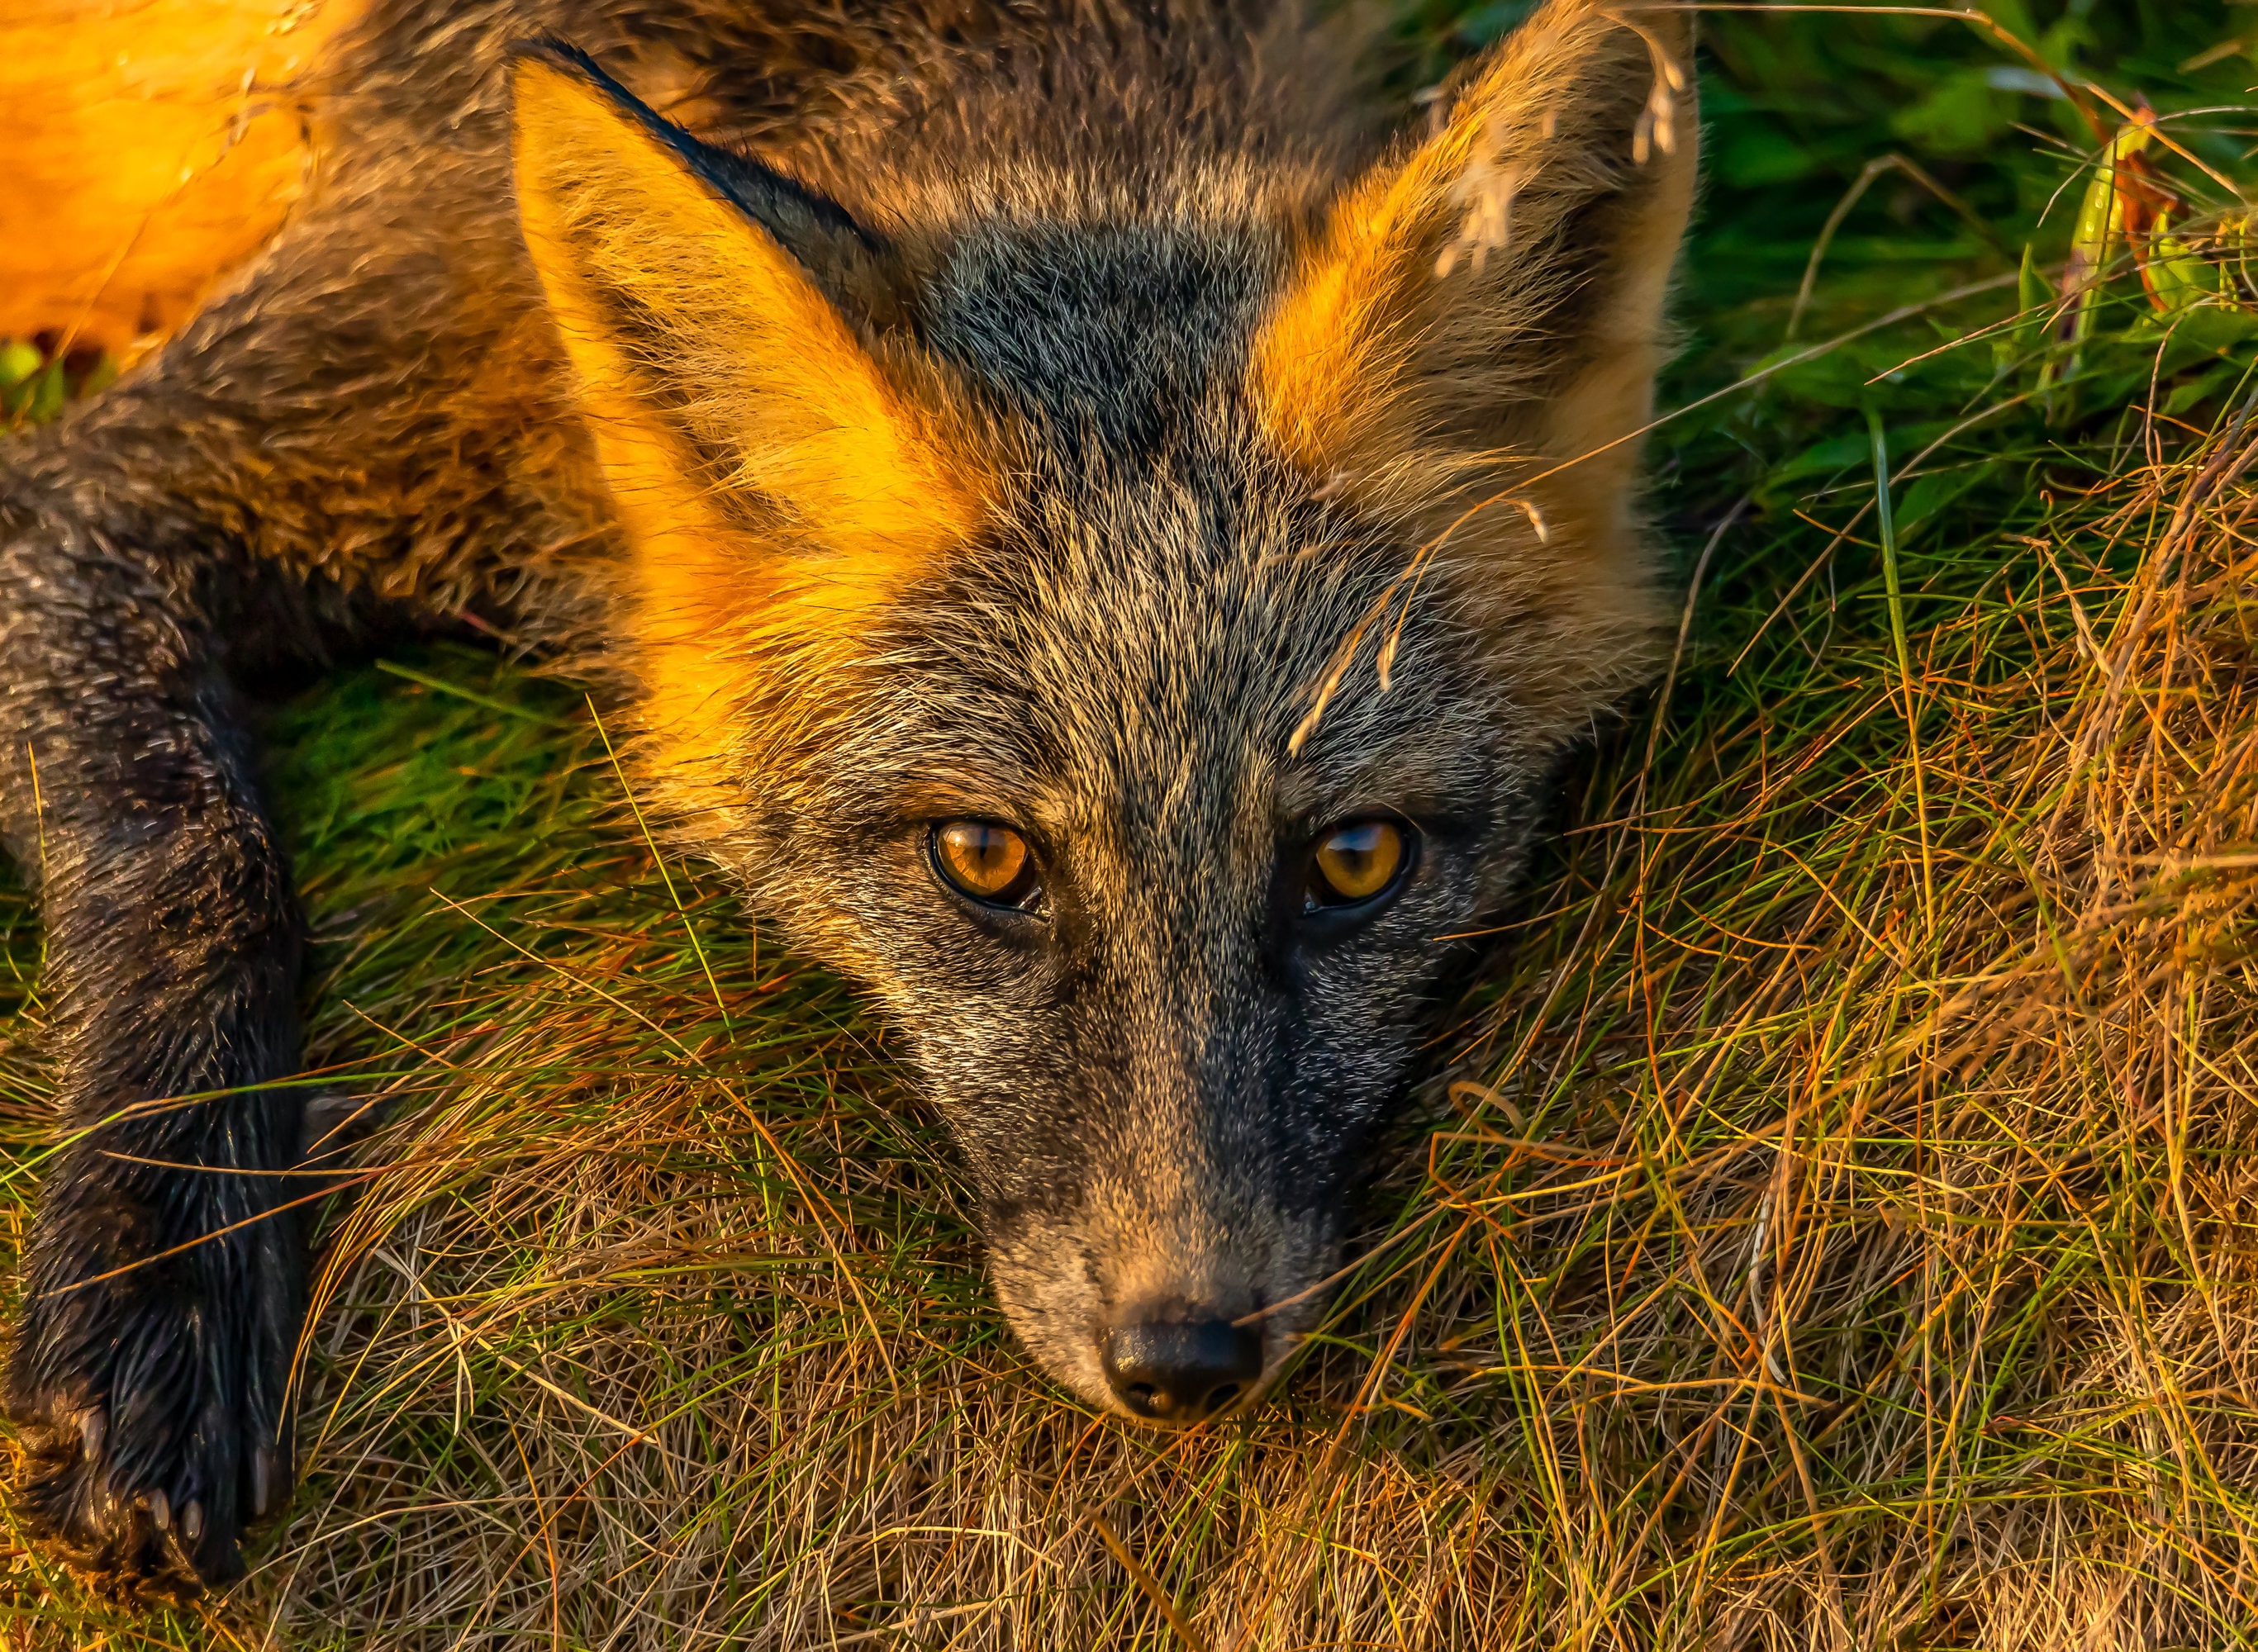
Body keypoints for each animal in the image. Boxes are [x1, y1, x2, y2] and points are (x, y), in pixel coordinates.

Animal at [0, 0, 1696, 1600]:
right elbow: (196, 867)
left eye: (1352, 860)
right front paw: (155, 1276)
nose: (1184, 1362)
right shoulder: (108, 485)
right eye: (983, 857)